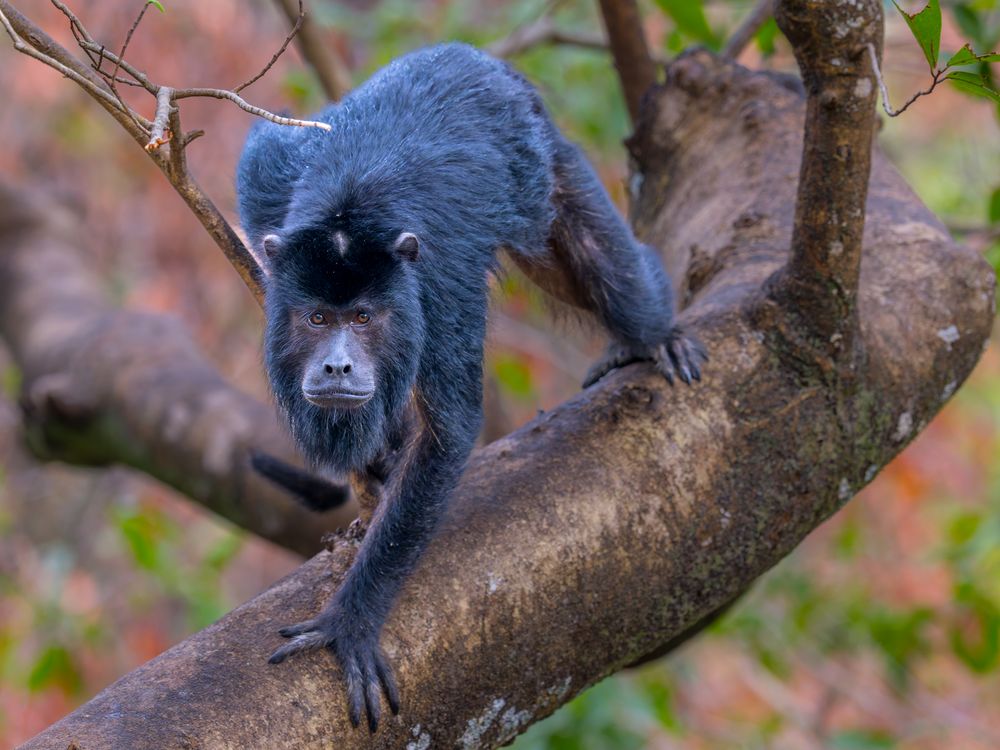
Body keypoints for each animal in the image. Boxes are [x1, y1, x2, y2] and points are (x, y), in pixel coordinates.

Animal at [236, 42, 705, 732]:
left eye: (364, 318)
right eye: (318, 318)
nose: (338, 367)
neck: (349, 214)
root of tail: (474, 60)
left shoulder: (434, 282)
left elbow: (448, 431)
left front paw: (351, 621)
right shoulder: (270, 182)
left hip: (543, 160)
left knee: (613, 277)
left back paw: (657, 330)